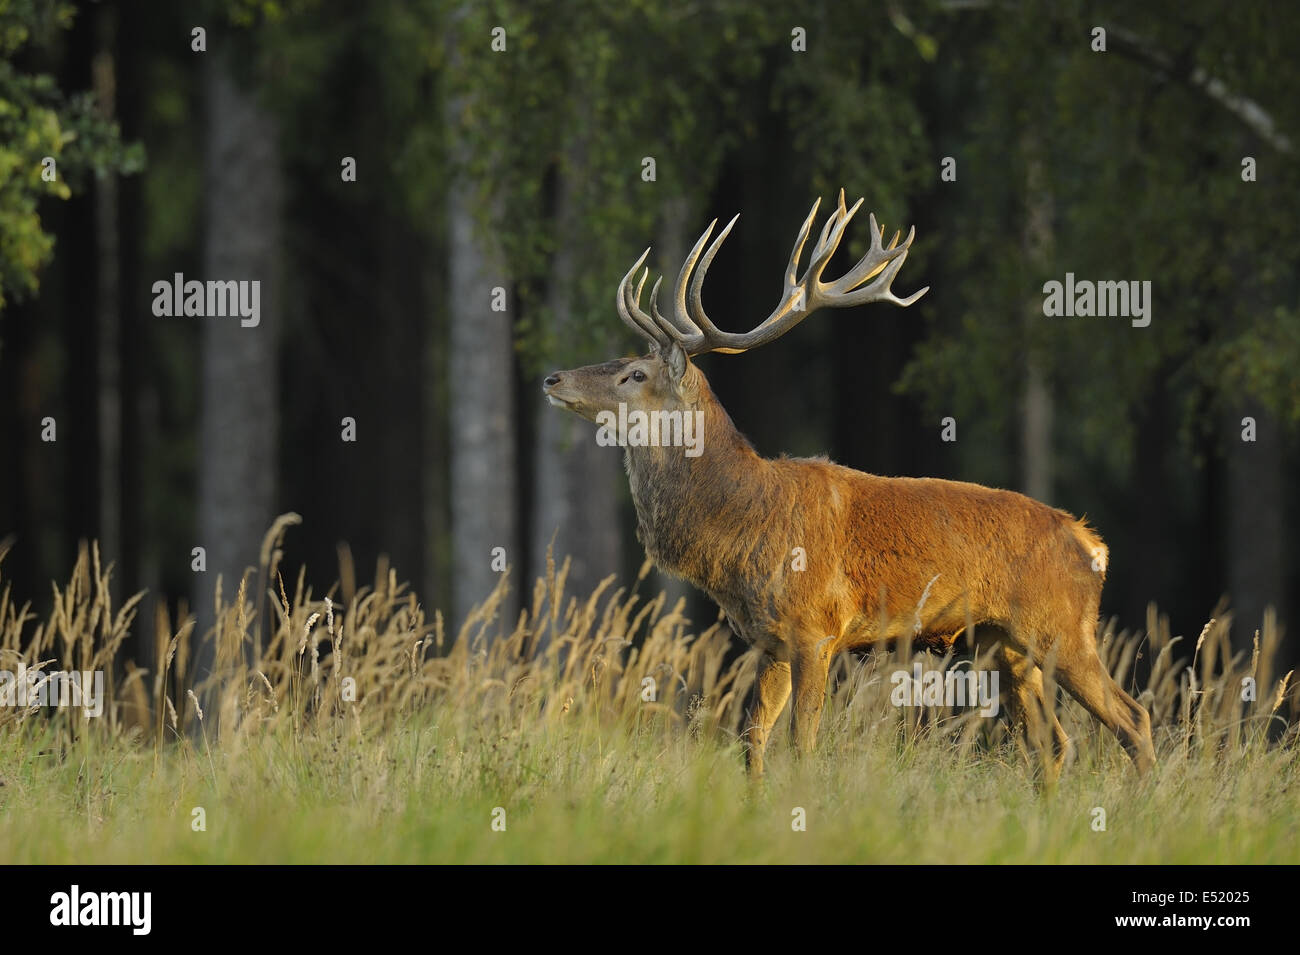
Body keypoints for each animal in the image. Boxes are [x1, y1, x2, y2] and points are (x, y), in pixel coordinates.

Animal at [542, 190, 1157, 779]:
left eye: (634, 375)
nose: (551, 377)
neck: (739, 524)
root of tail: (1092, 543)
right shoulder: (771, 641)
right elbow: (752, 742)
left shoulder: (816, 628)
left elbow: (802, 743)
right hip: (1004, 645)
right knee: (1053, 744)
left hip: (1062, 629)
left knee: (1133, 719)